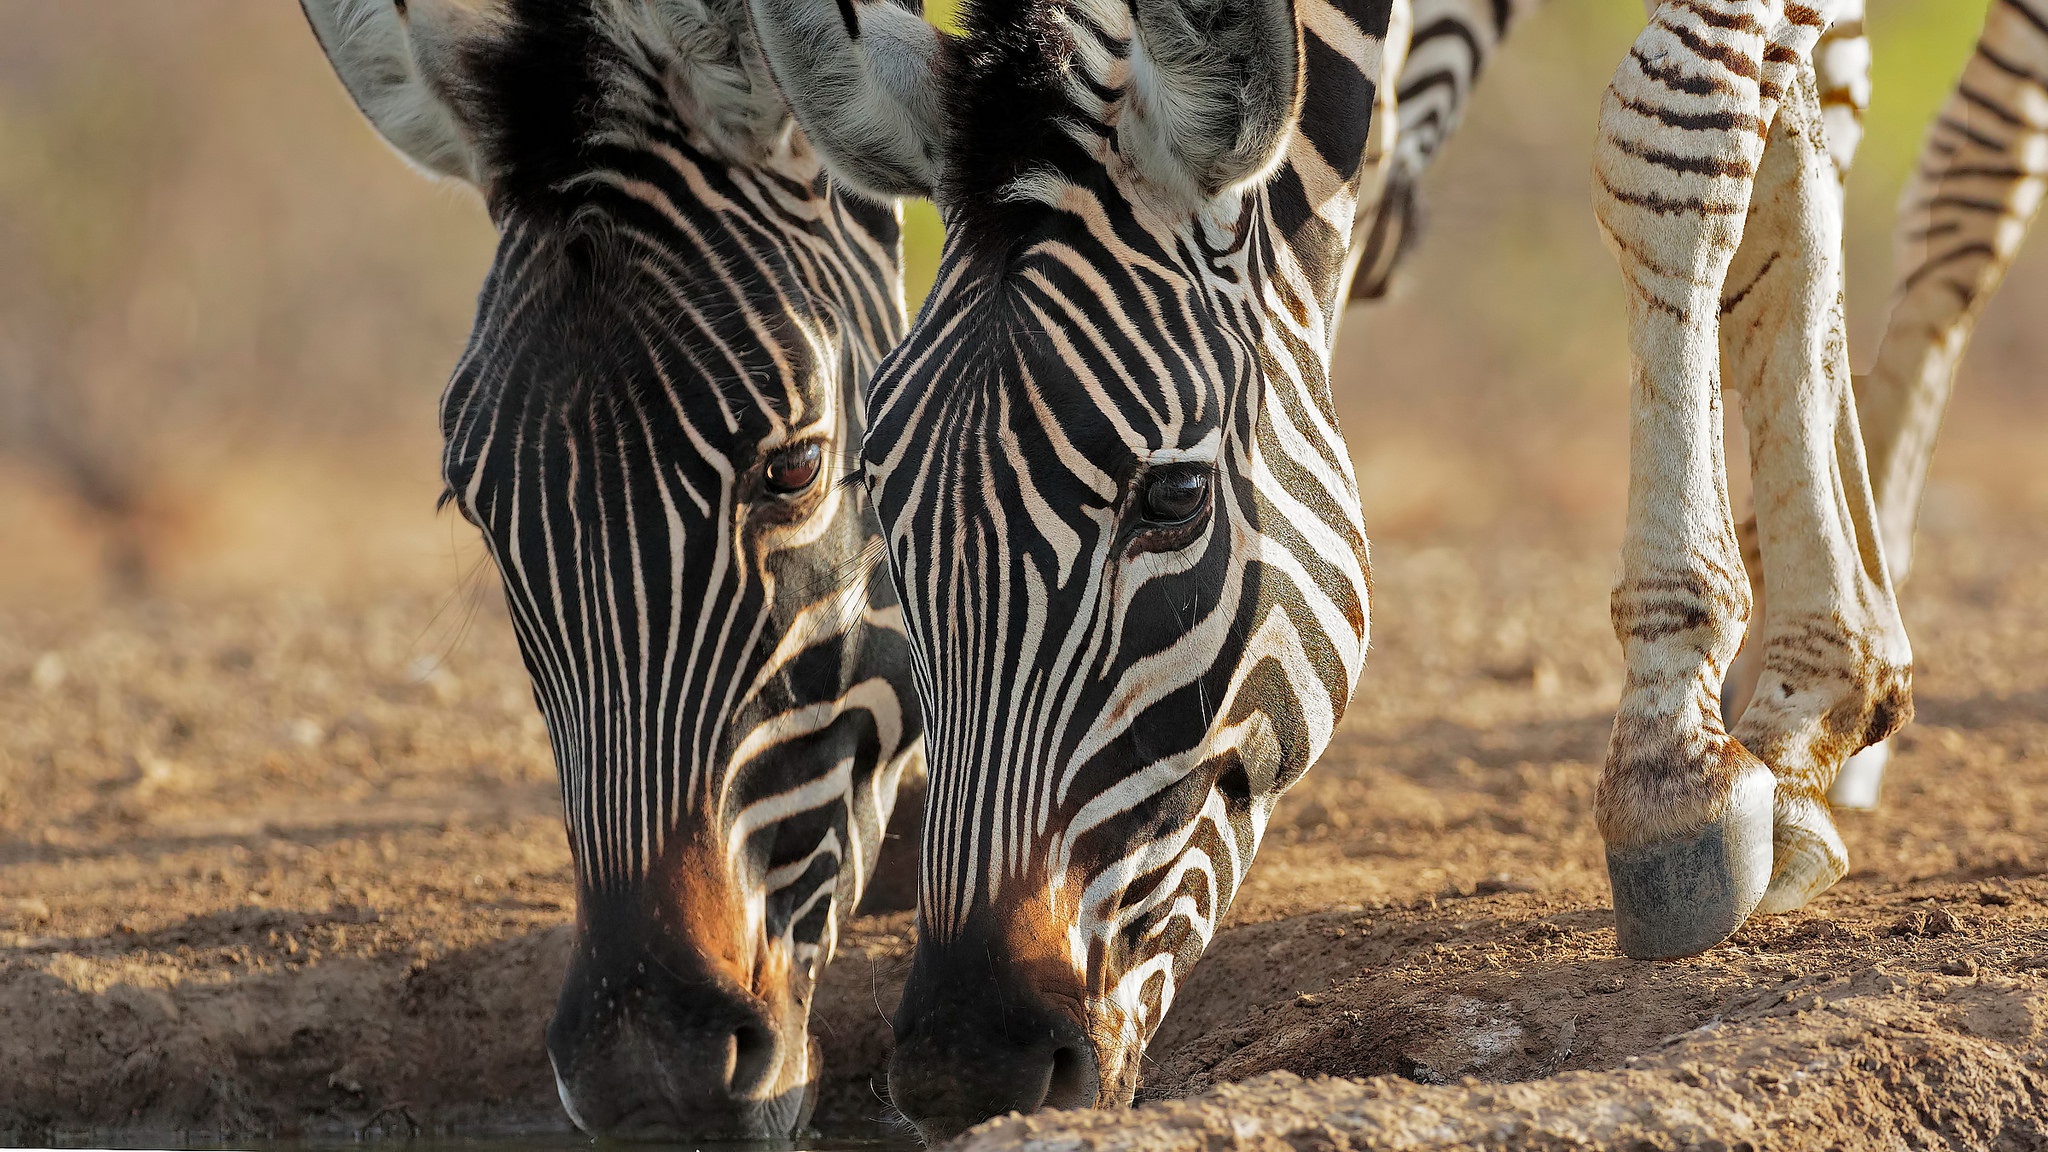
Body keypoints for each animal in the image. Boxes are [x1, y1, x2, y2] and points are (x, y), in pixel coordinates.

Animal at [747, 0, 2036, 1136]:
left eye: (1173, 500)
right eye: (878, 504)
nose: (971, 1065)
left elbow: (1676, 127)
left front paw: (1673, 759)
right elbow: (1793, 158)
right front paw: (1816, 692)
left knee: (1972, 163)